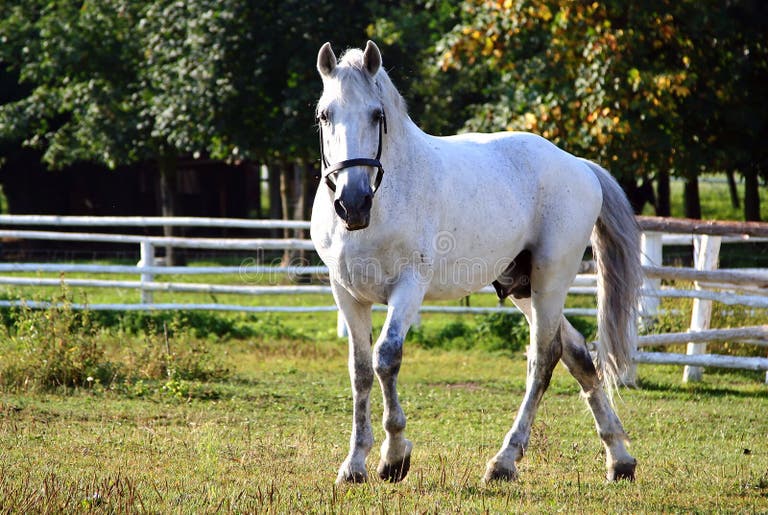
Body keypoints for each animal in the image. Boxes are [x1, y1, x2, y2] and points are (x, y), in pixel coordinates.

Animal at [310, 40, 642, 485]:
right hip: (523, 288)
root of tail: (577, 164)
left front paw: (395, 456)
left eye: (377, 115)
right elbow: (361, 369)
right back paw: (619, 458)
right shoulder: (346, 293)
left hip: (551, 281)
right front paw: (355, 463)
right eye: (325, 114)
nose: (353, 202)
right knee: (576, 354)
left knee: (543, 357)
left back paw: (504, 460)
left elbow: (386, 358)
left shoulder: (408, 287)